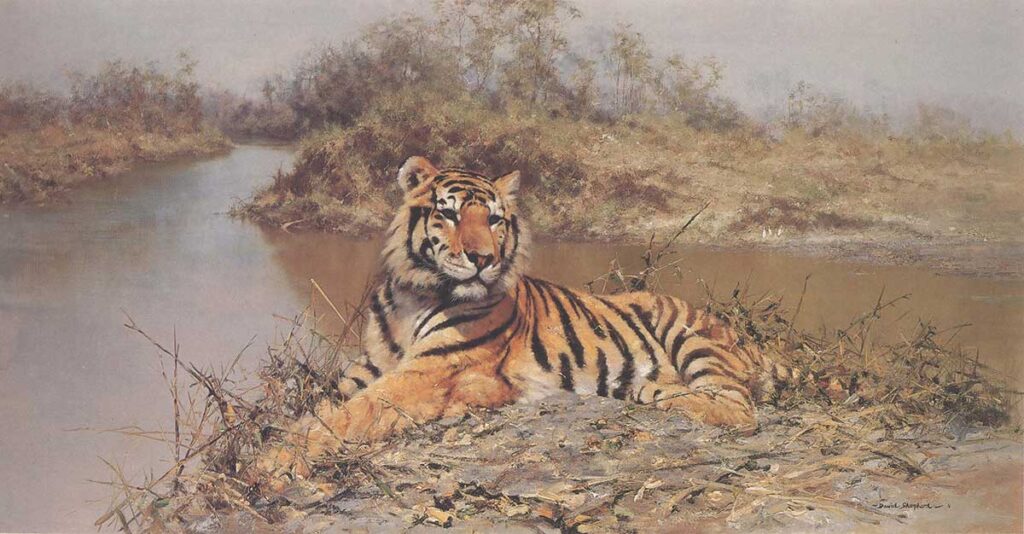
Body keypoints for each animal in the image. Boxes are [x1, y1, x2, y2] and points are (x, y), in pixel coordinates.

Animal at [256, 156, 800, 483]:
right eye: (449, 215)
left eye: (495, 220)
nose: (482, 259)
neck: (417, 291)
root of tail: (745, 338)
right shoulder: (369, 365)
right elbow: (328, 401)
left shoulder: (429, 372)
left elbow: (351, 414)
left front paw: (271, 462)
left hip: (687, 334)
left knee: (736, 406)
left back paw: (652, 391)